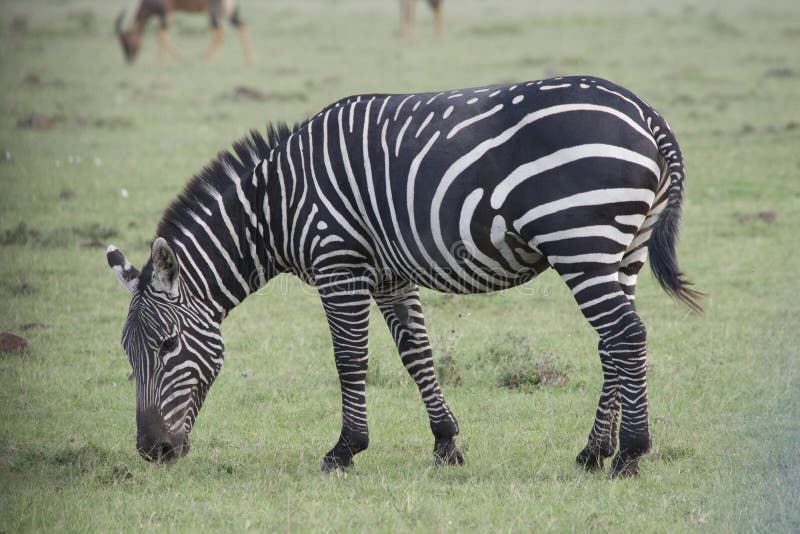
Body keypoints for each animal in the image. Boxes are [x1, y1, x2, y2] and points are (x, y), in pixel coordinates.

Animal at [107, 75, 702, 477]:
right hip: (621, 249)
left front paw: (344, 450)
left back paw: (629, 455)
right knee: (612, 344)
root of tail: (646, 112)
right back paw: (593, 452)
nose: (153, 452)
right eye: (129, 354)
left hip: (581, 239)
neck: (272, 207)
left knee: (626, 335)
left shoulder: (338, 263)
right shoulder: (392, 275)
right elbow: (417, 355)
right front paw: (446, 445)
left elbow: (350, 360)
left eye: (167, 344)